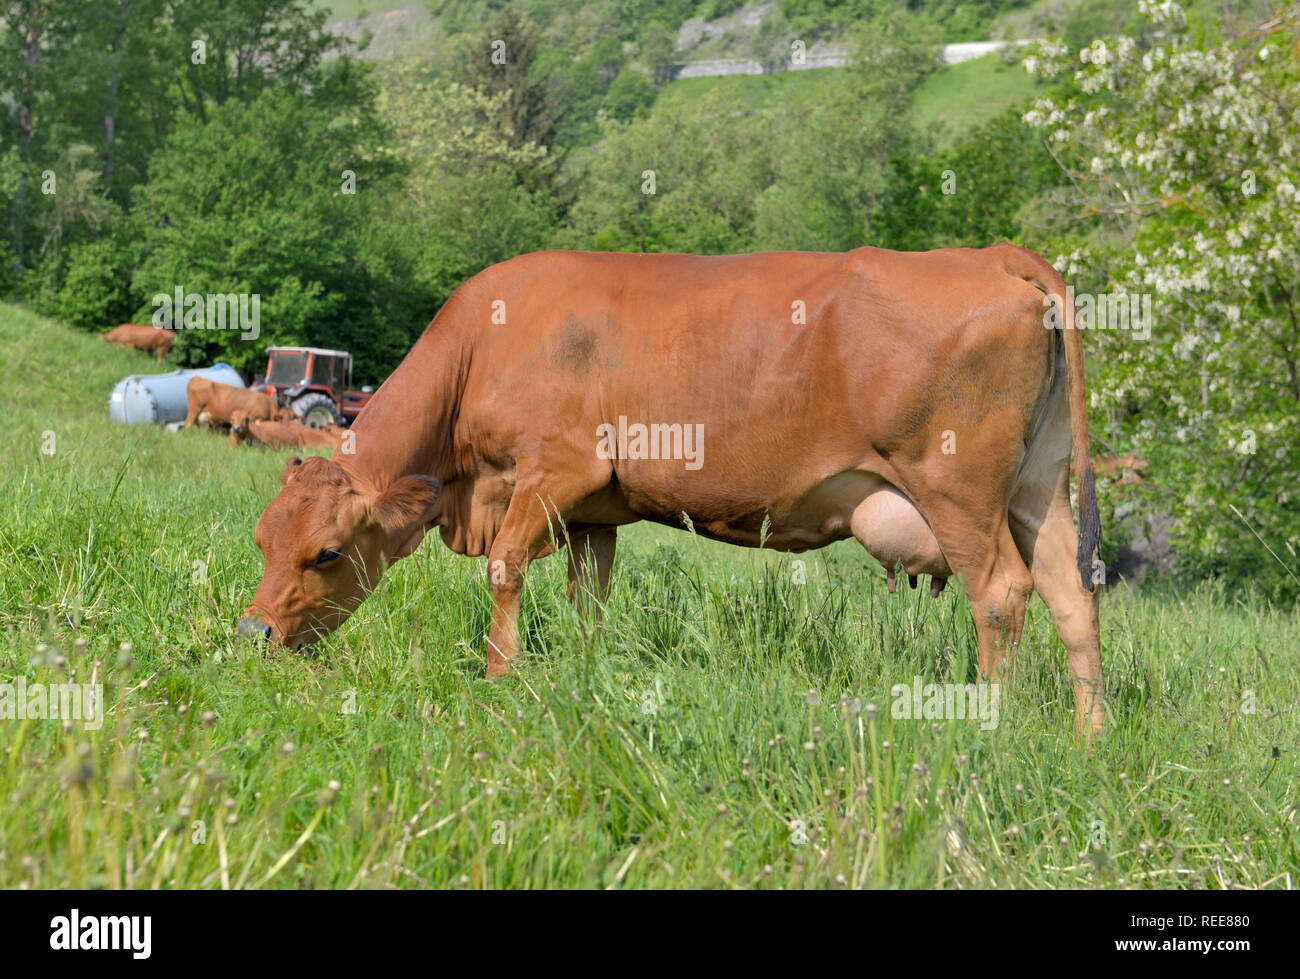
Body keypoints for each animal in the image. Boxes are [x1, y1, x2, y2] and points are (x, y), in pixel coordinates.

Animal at [237, 244, 1107, 736]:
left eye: (326, 552)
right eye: (261, 538)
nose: (252, 634)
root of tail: (987, 251)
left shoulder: (557, 471)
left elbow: (506, 569)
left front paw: (499, 680)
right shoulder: (595, 513)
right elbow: (587, 604)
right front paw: (579, 678)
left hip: (958, 488)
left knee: (1000, 593)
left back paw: (984, 727)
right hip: (1038, 487)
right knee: (1071, 594)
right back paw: (1091, 735)